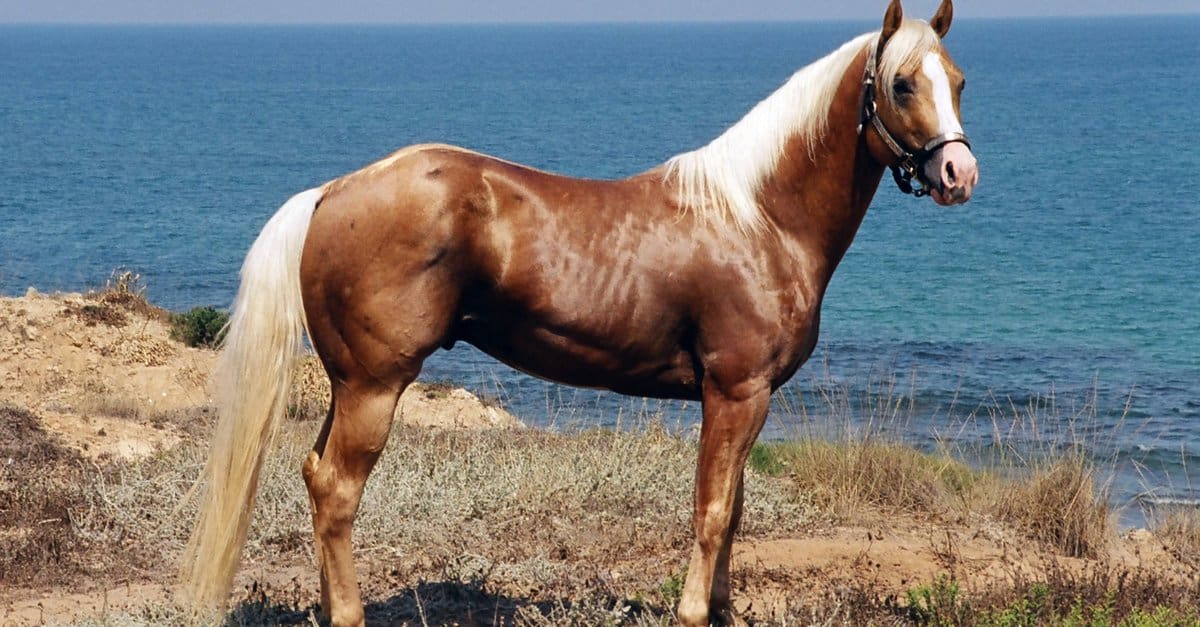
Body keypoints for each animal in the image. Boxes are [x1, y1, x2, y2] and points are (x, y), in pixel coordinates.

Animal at [181, 1, 977, 624]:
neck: (758, 218)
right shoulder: (735, 392)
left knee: (314, 476)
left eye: (960, 81)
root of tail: (330, 193)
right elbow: (712, 513)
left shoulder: (747, 401)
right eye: (903, 83)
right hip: (375, 388)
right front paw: (694, 611)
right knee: (338, 491)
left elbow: (734, 511)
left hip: (347, 385)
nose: (958, 173)